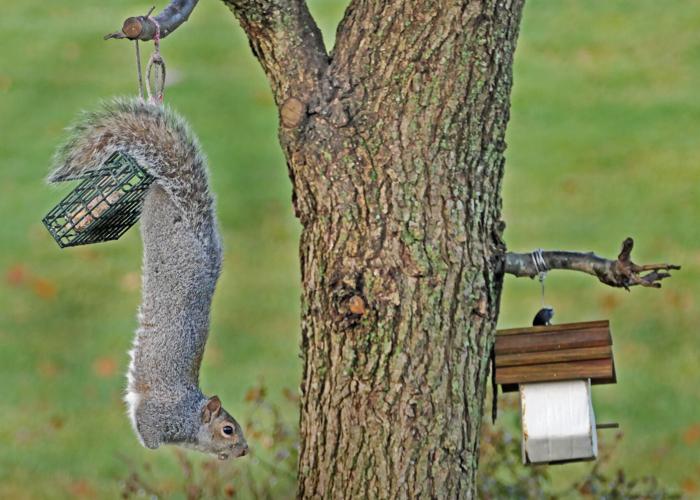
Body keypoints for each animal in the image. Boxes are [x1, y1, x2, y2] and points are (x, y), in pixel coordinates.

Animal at [48, 98, 248, 460]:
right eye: (228, 429)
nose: (244, 451)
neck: (189, 417)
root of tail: (200, 237)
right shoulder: (156, 417)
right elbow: (147, 432)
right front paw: (148, 446)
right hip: (159, 222)